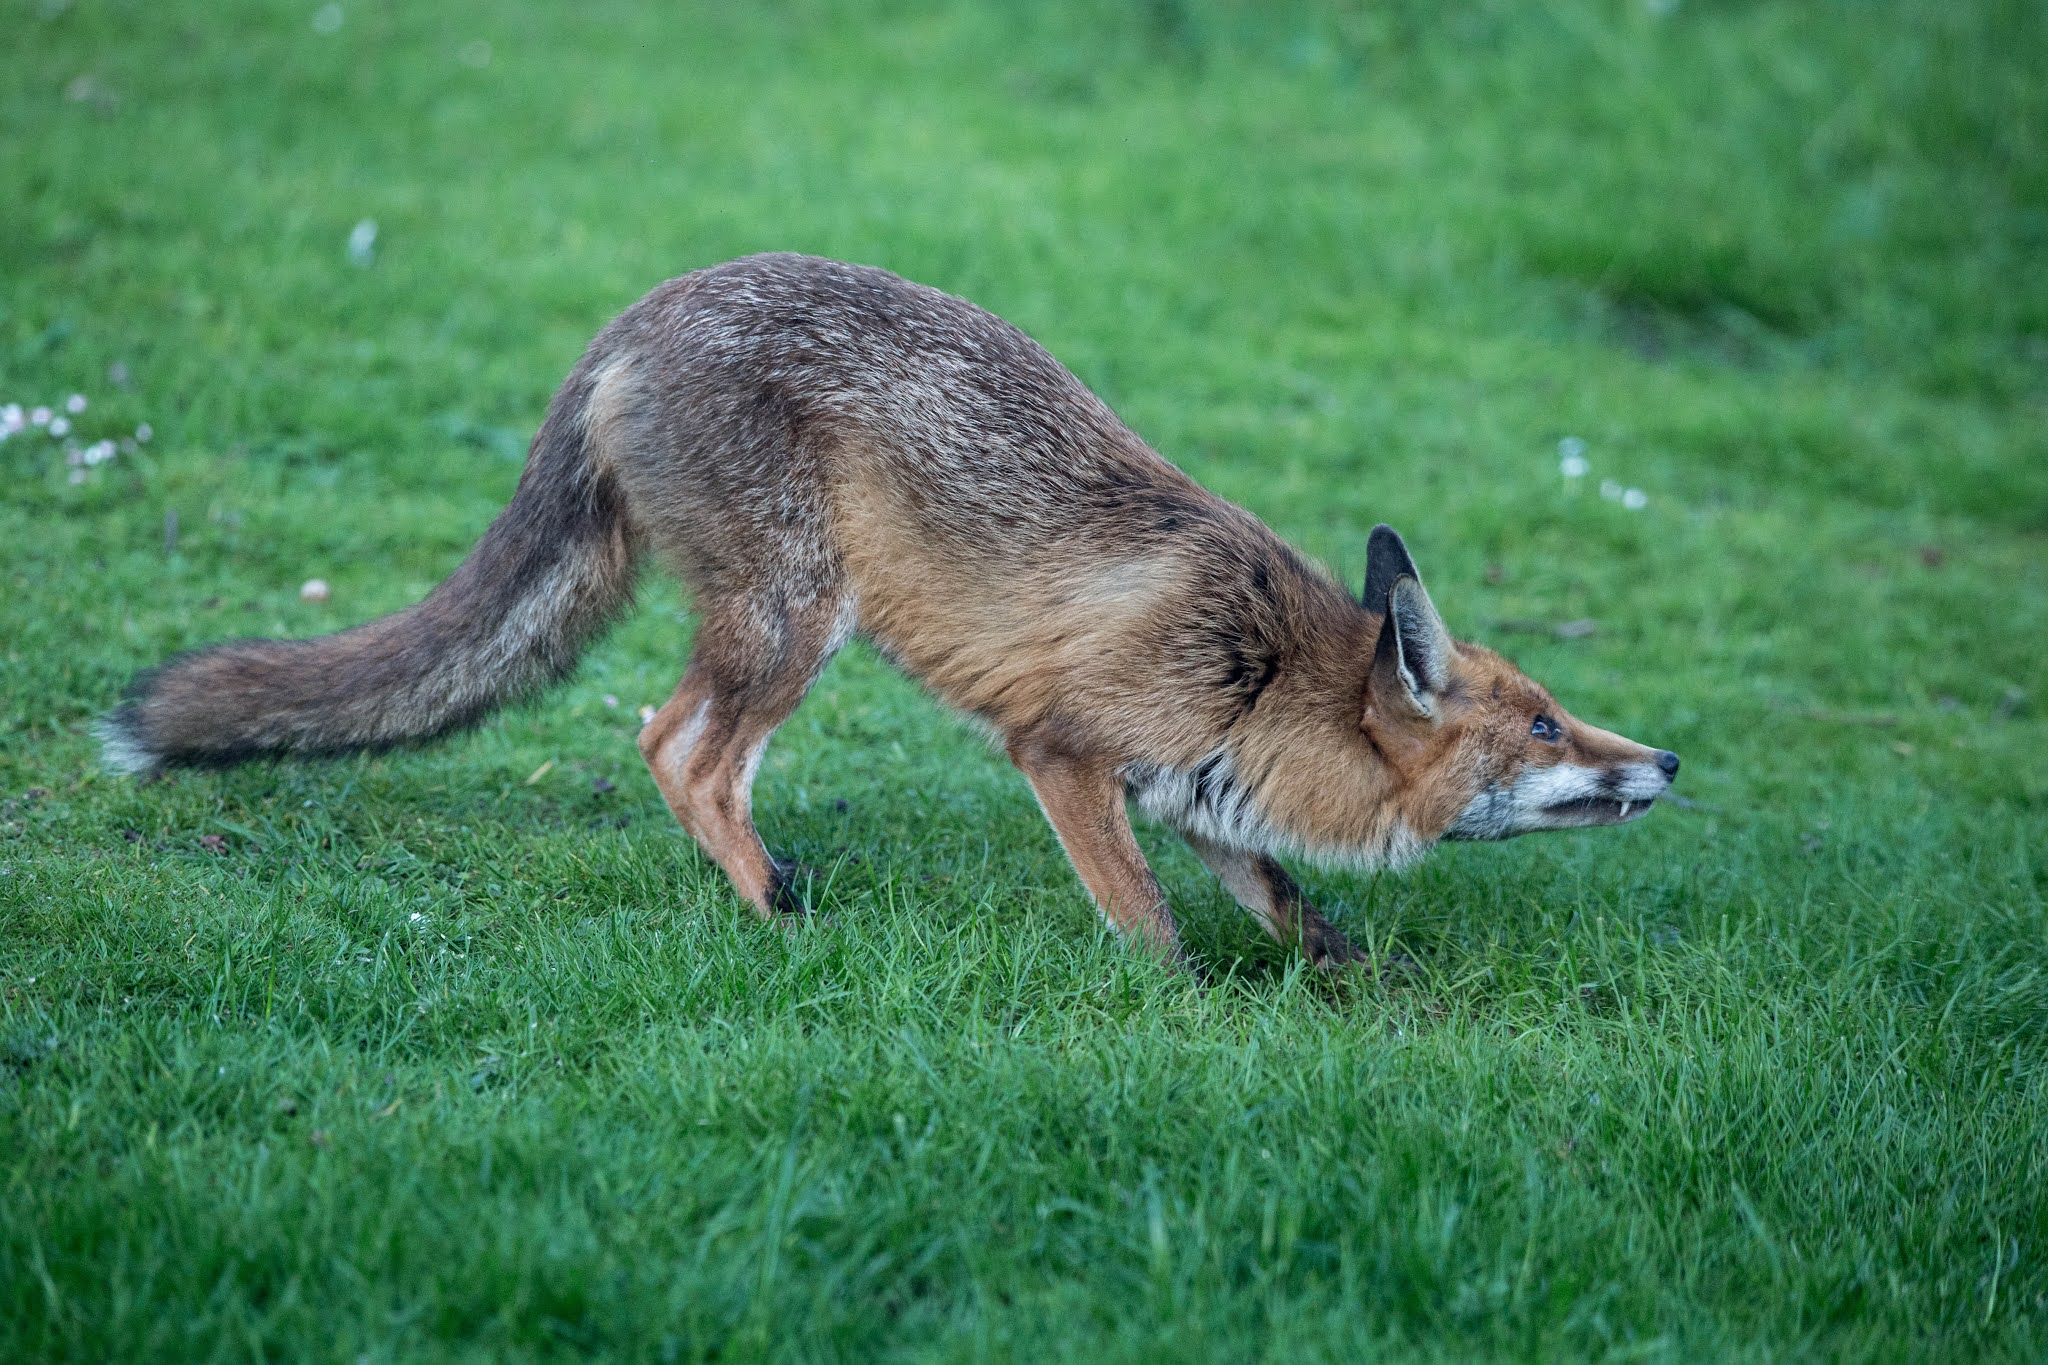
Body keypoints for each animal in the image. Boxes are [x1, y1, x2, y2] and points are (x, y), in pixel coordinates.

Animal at [102, 253, 1679, 970]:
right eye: (1548, 723)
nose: (1667, 759)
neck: (1265, 669)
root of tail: (640, 312)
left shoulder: (1202, 784)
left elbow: (1284, 900)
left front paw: (1348, 981)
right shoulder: (1064, 751)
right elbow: (1151, 925)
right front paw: (1197, 1010)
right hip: (799, 618)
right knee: (673, 744)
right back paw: (771, 908)